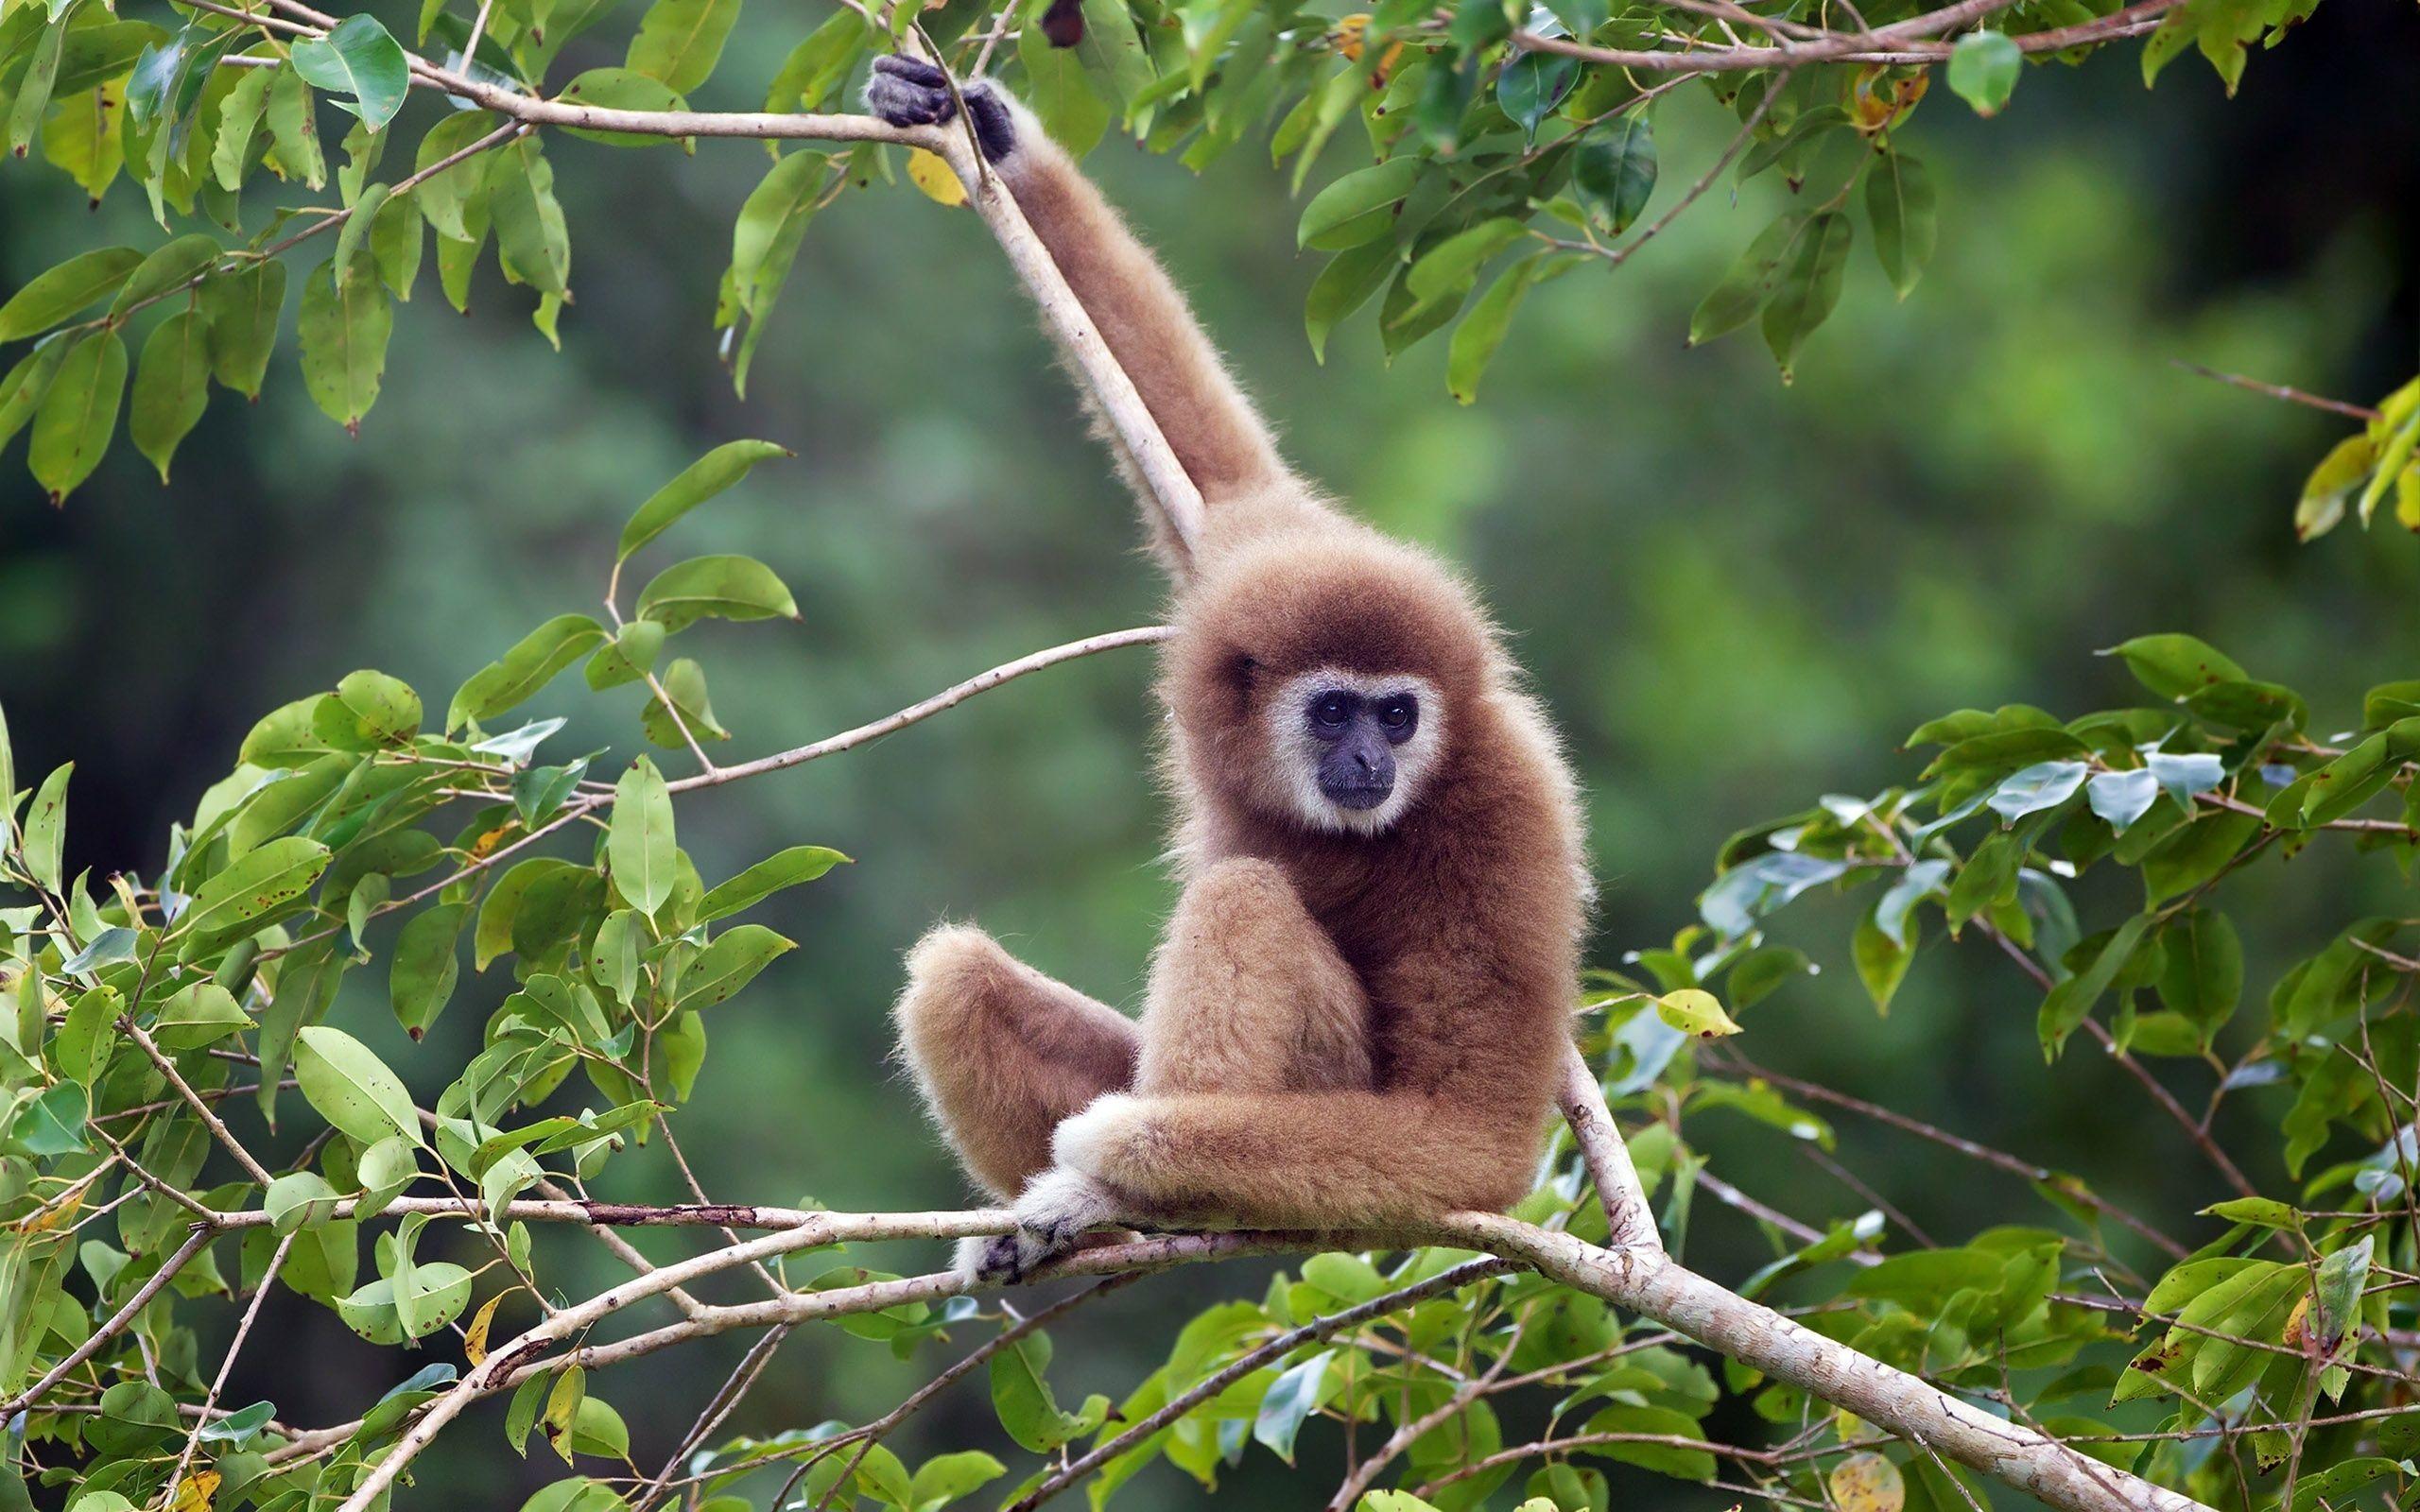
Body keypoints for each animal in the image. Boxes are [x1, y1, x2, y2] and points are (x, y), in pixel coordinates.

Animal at [865, 55, 1591, 1283]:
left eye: (1400, 717)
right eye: (1336, 709)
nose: (1367, 758)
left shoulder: (1507, 810)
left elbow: (1470, 1138)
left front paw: (1118, 1155)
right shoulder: (1253, 547)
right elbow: (1212, 460)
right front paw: (995, 134)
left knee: (1242, 898)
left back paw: (1107, 1194)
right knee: (953, 975)